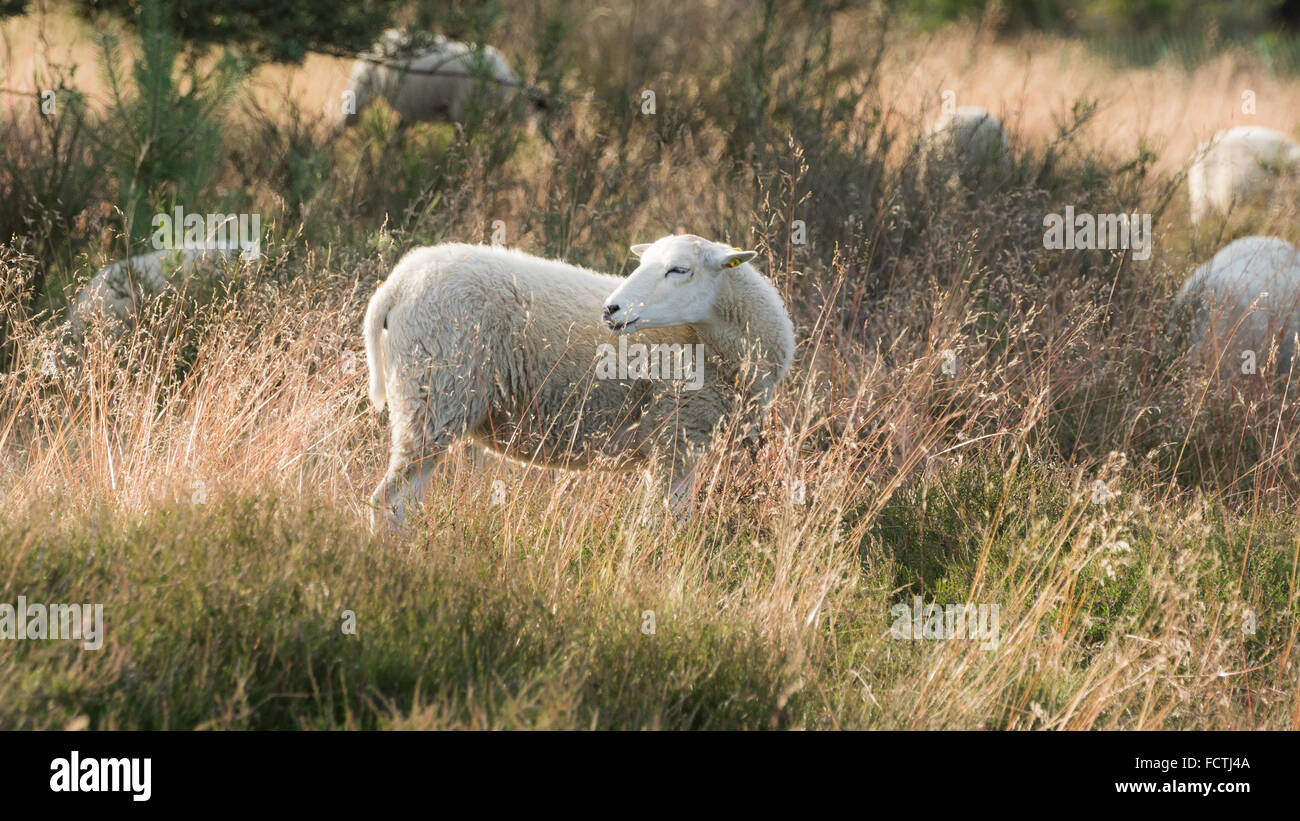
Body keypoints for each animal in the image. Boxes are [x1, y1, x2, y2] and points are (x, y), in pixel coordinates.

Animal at [363, 235, 796, 528]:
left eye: (680, 269)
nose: (611, 309)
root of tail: (396, 286)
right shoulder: (678, 436)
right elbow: (665, 521)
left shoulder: (680, 442)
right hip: (434, 395)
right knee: (387, 501)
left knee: (404, 500)